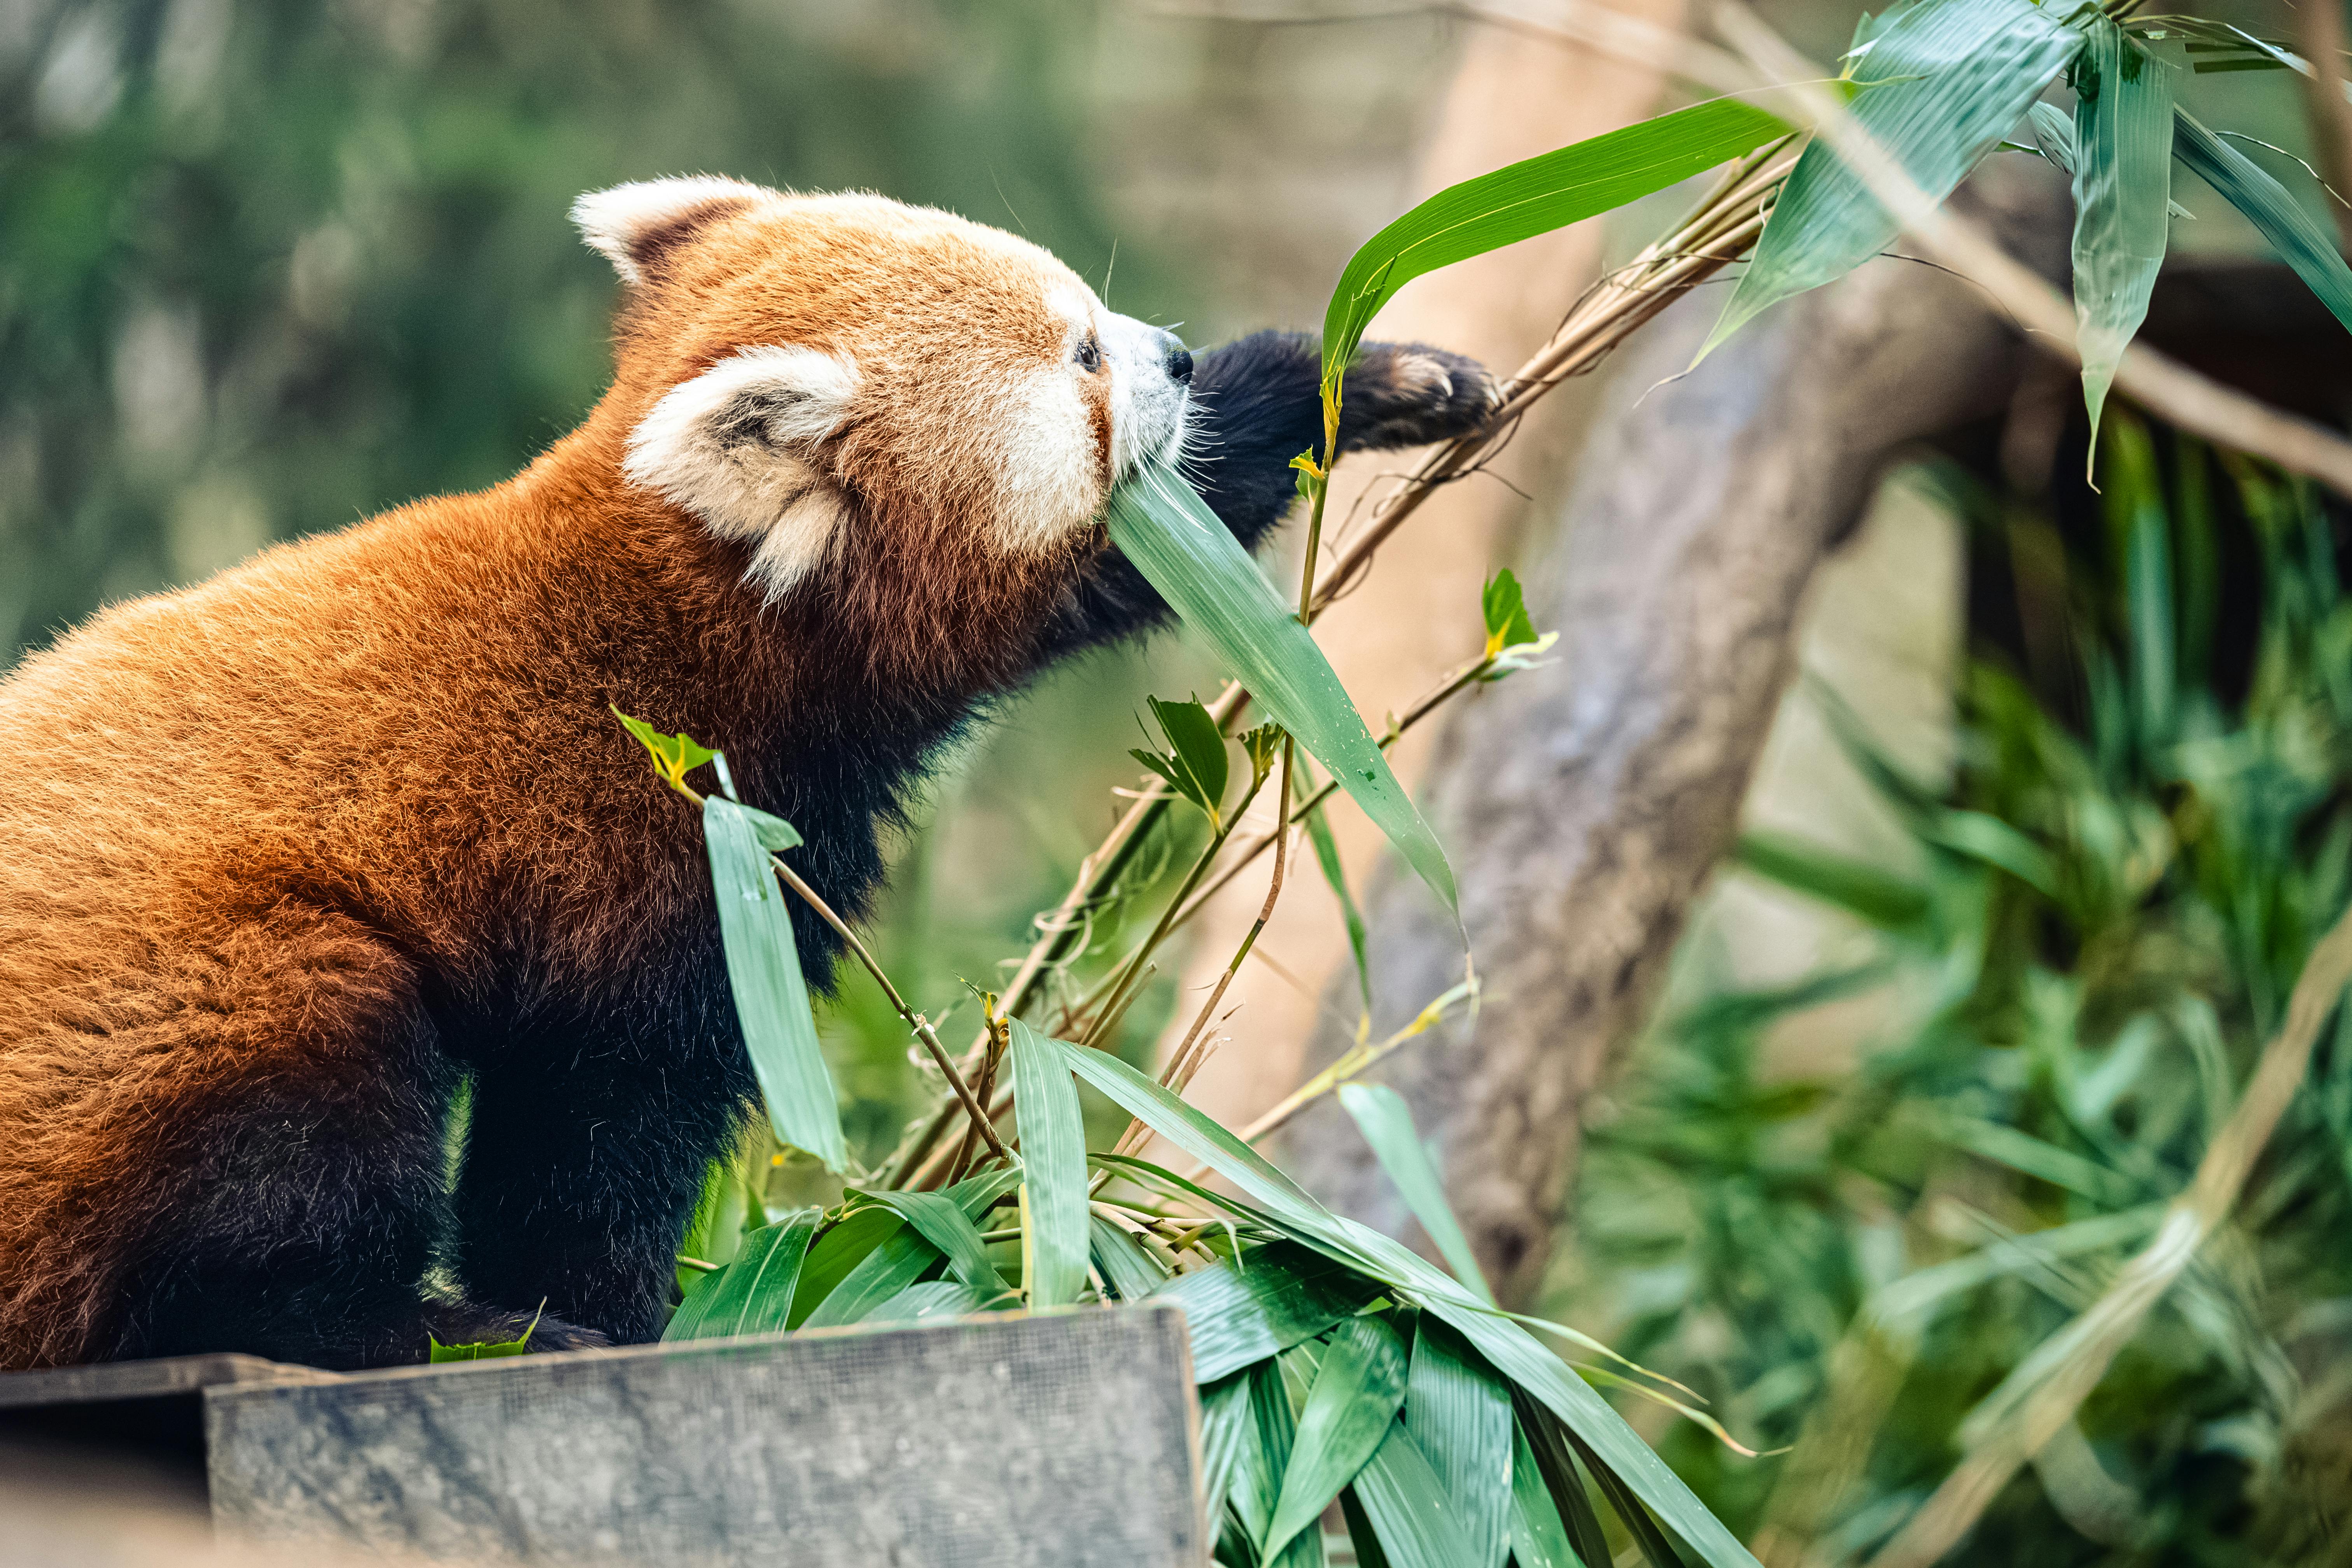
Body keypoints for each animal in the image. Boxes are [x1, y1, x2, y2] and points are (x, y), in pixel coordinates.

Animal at [0, 178, 1495, 1370]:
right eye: (1080, 355)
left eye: (1105, 324)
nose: (1173, 356)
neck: (695, 616)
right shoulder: (647, 838)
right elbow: (599, 1128)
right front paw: (619, 1312)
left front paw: (1379, 379)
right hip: (223, 996)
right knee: (279, 1171)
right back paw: (414, 1327)